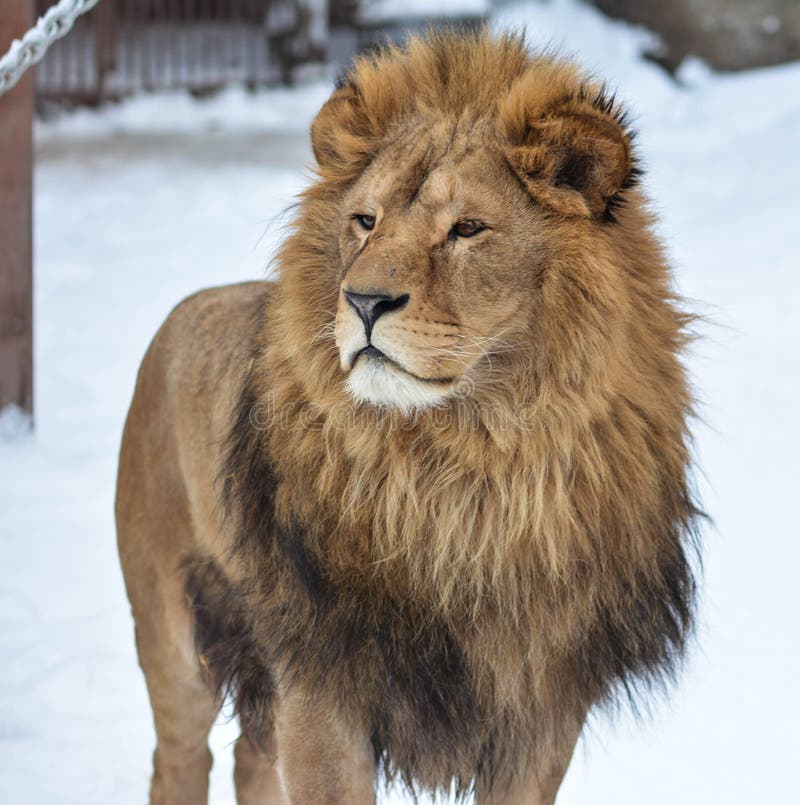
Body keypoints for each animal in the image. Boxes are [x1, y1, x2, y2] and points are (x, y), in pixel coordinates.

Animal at [116, 31, 700, 805]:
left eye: (468, 229)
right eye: (366, 221)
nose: (363, 301)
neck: (464, 467)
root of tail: (187, 307)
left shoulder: (542, 707)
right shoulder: (322, 677)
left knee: (248, 758)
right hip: (172, 629)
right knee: (180, 758)